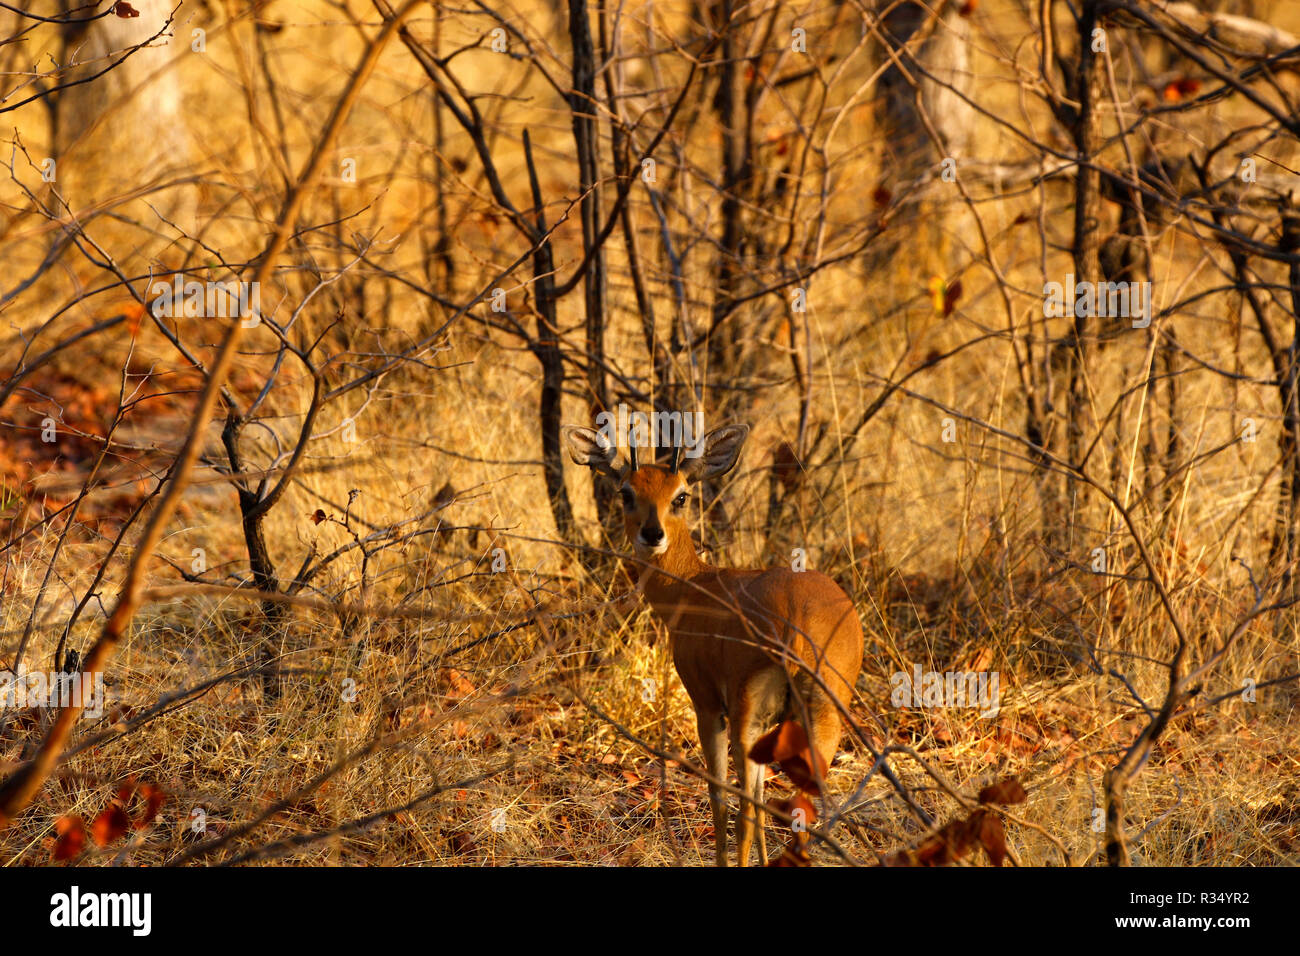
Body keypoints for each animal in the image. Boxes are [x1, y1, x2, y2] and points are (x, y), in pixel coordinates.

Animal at [562, 422, 864, 866]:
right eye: (627, 492)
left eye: (681, 495)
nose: (652, 534)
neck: (692, 588)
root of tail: (797, 626)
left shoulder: (705, 704)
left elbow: (721, 800)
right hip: (822, 717)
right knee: (800, 812)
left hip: (745, 714)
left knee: (743, 811)